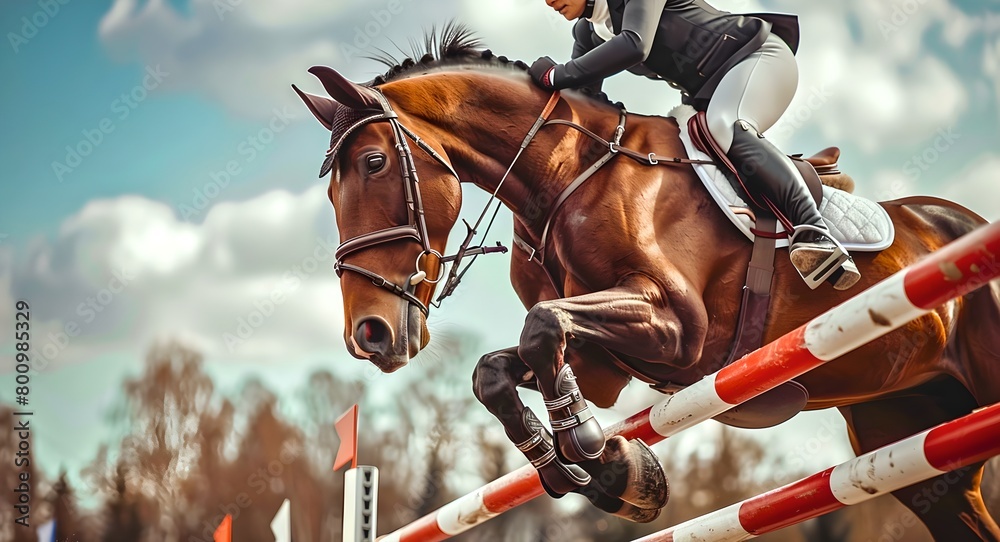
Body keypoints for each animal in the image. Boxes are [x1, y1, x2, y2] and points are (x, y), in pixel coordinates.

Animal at [292, 28, 1000, 539]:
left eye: (374, 163)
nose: (369, 334)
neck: (563, 175)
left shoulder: (676, 327)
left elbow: (542, 327)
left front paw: (596, 450)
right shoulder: (603, 361)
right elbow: (498, 368)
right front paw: (593, 468)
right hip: (916, 450)